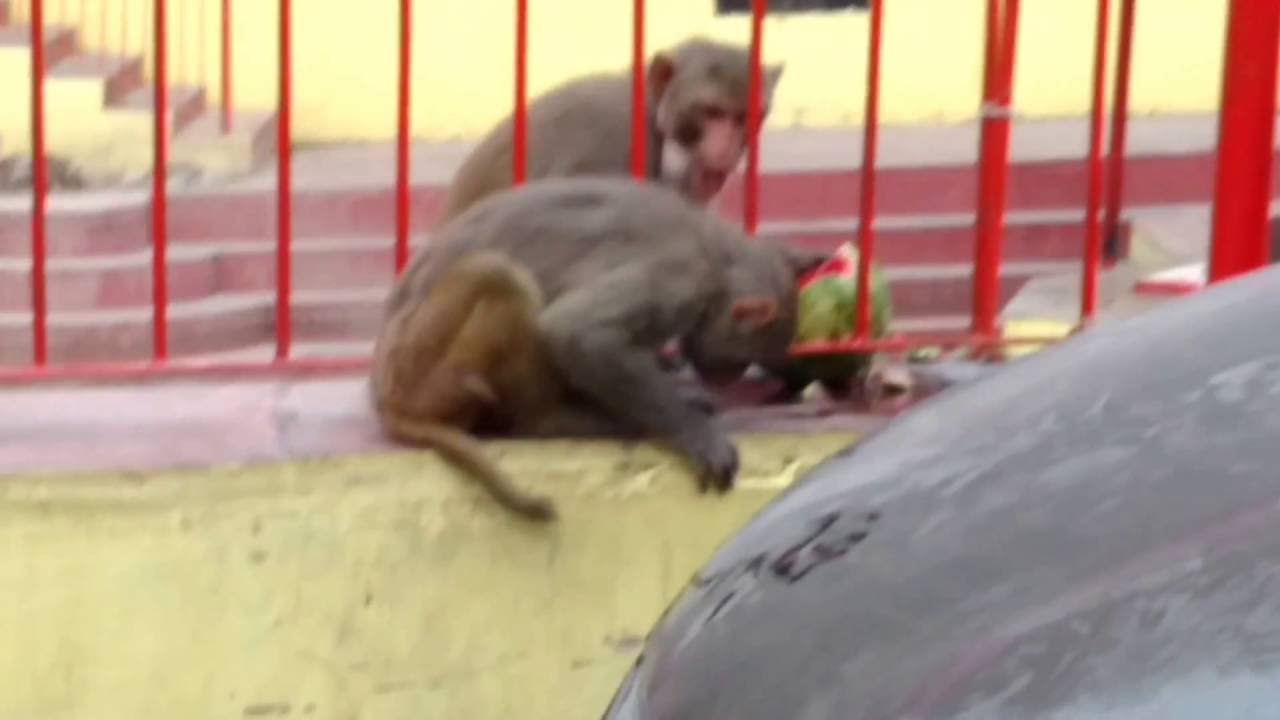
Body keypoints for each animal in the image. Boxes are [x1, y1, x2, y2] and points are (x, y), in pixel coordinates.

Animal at [375, 177, 824, 519]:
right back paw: (556, 420)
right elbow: (577, 331)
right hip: (426, 366)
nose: (728, 376)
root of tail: (383, 391)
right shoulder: (681, 279)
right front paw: (693, 429)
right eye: (742, 357)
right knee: (502, 274)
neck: (717, 255)